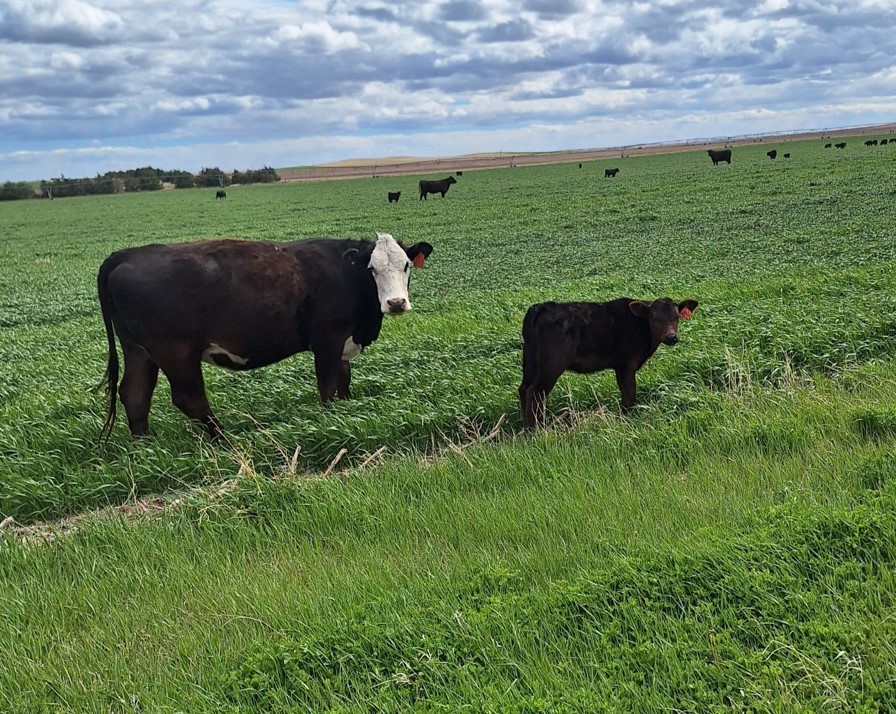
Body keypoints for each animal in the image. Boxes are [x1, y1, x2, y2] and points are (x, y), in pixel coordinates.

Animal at [97, 232, 434, 439]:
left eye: (406, 265)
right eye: (371, 269)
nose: (396, 303)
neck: (345, 272)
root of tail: (128, 255)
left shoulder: (343, 344)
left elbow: (344, 381)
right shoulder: (327, 340)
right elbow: (327, 386)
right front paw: (331, 421)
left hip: (139, 350)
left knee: (135, 393)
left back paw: (145, 445)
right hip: (176, 353)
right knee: (188, 397)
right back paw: (224, 440)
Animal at [519, 297, 698, 429]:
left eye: (677, 317)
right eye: (654, 317)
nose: (671, 337)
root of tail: (542, 307)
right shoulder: (625, 364)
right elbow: (629, 394)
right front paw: (629, 419)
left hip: (530, 362)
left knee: (523, 389)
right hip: (551, 364)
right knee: (535, 392)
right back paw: (535, 431)